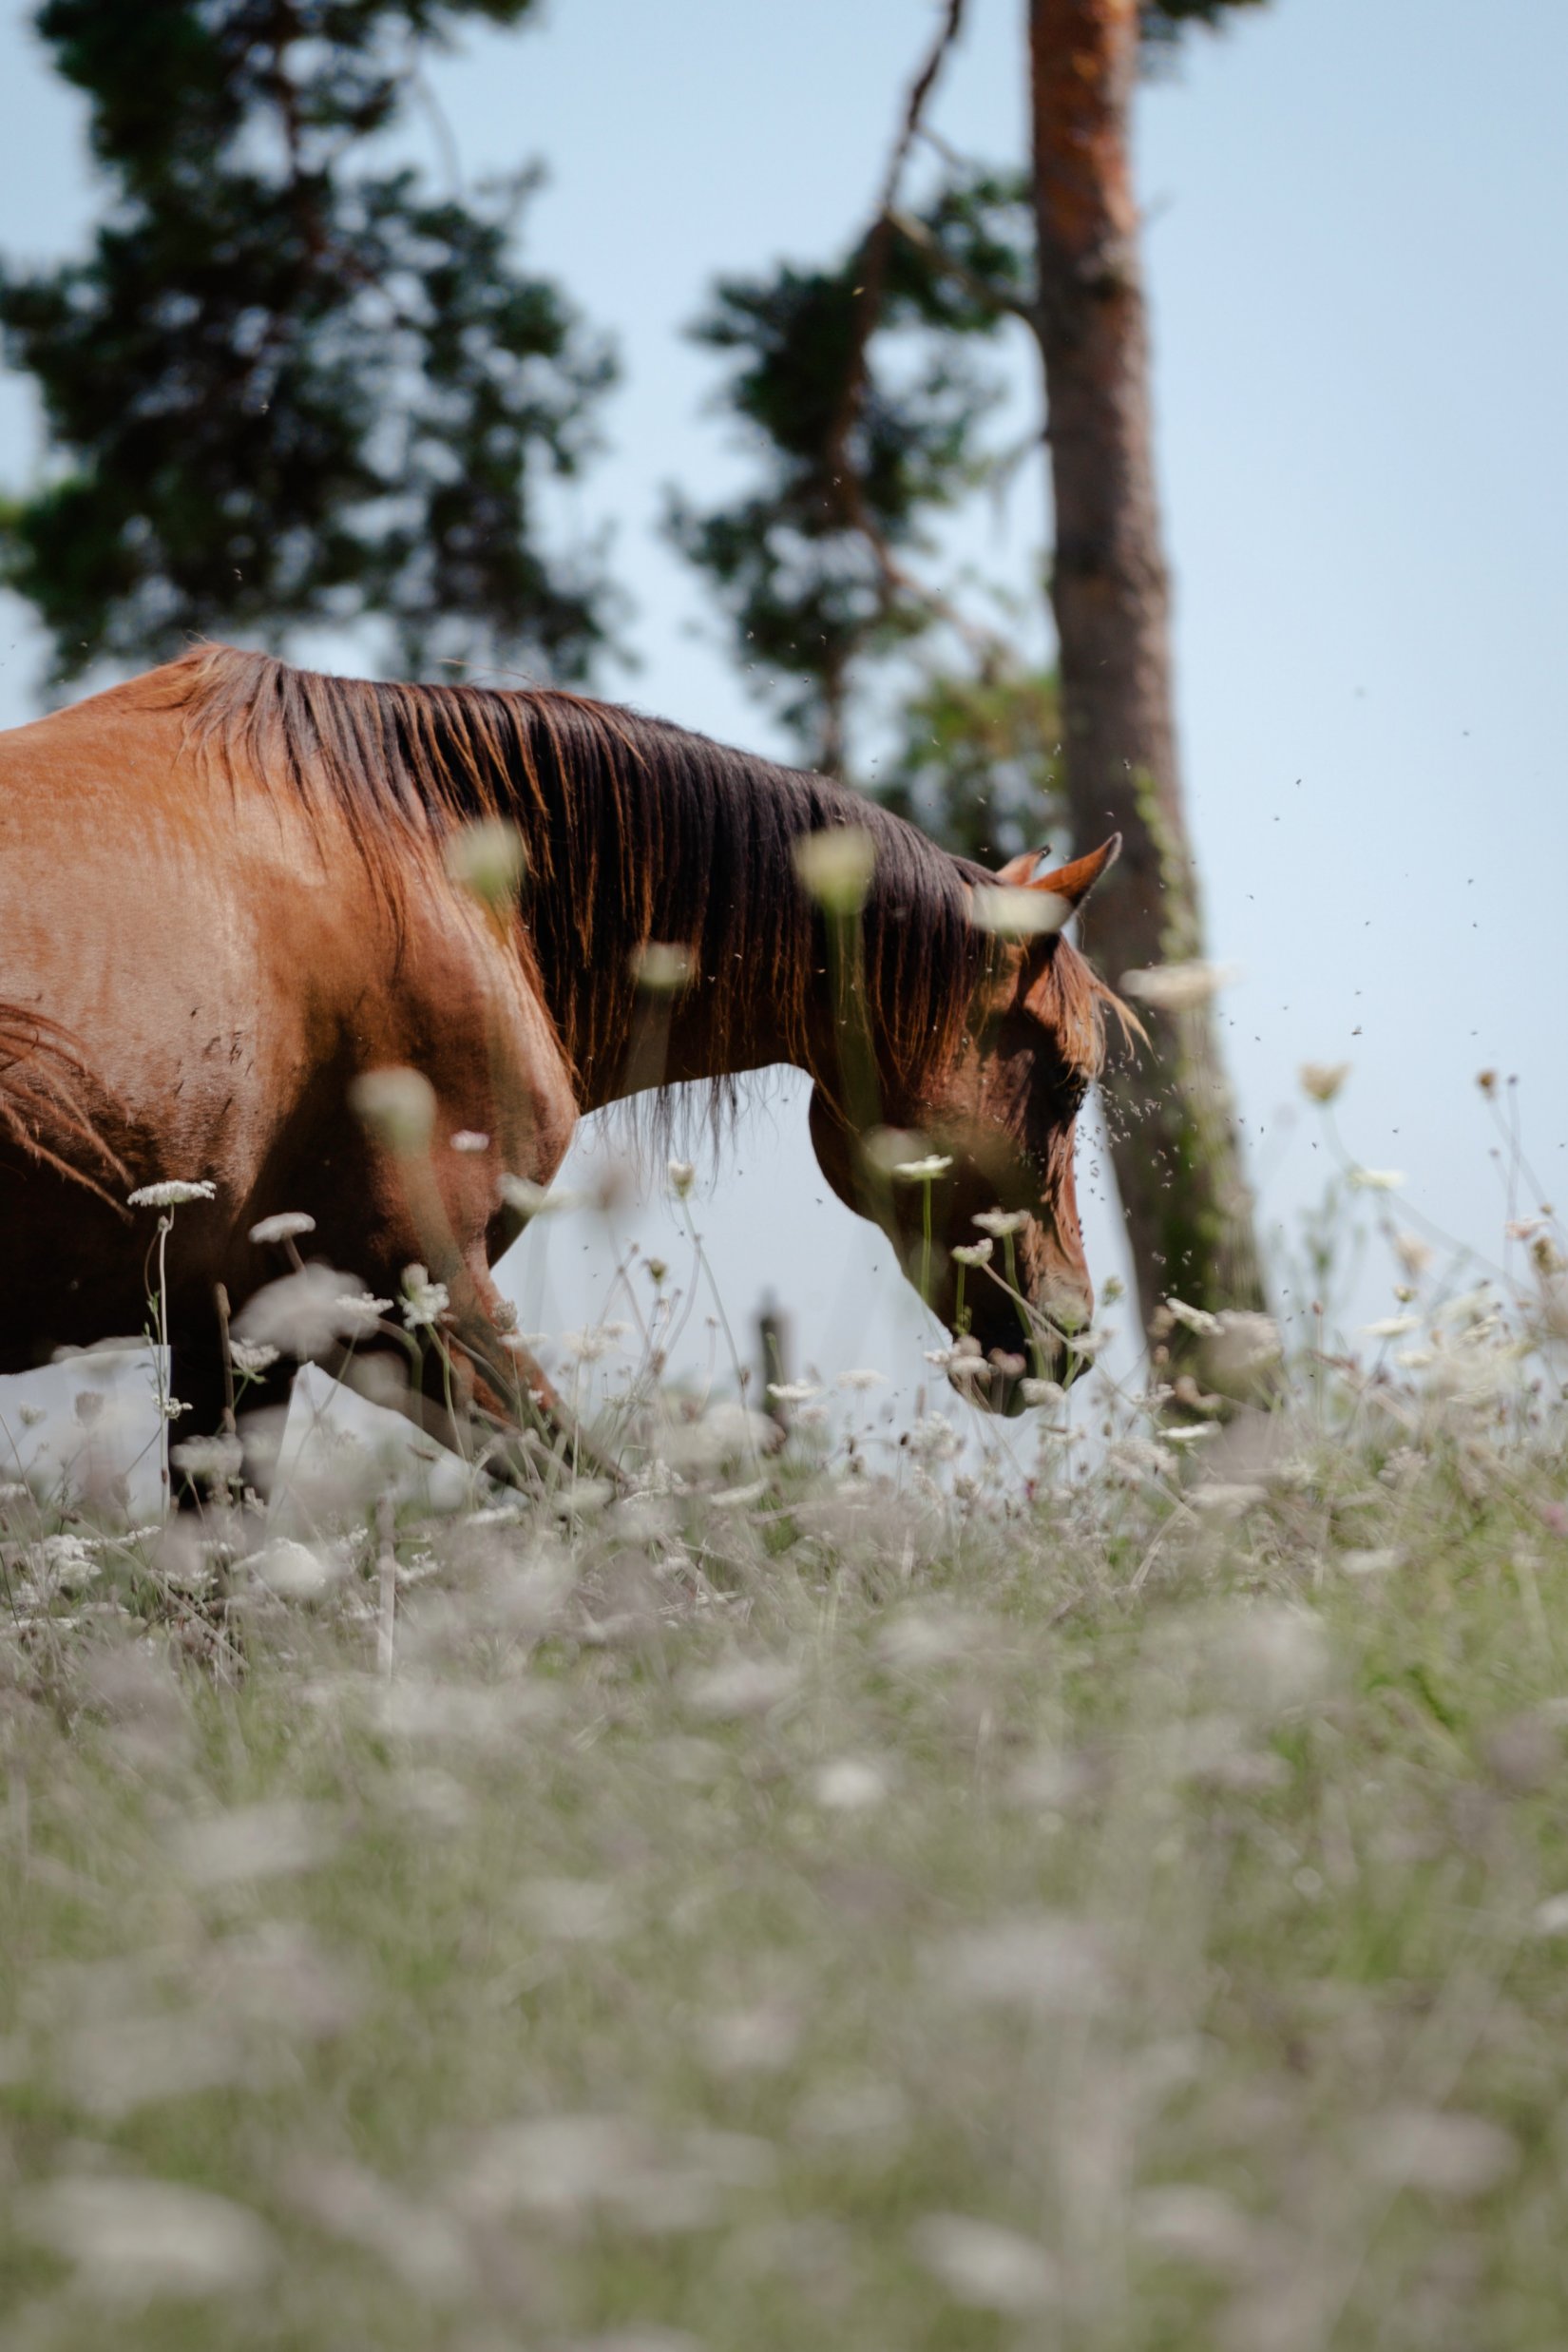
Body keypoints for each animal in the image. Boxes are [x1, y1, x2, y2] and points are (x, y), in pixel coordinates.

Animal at [0, 645, 1128, 1471]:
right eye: (1066, 1082)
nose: (1070, 1337)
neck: (429, 864)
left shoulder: (239, 1331)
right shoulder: (411, 1300)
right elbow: (590, 1492)